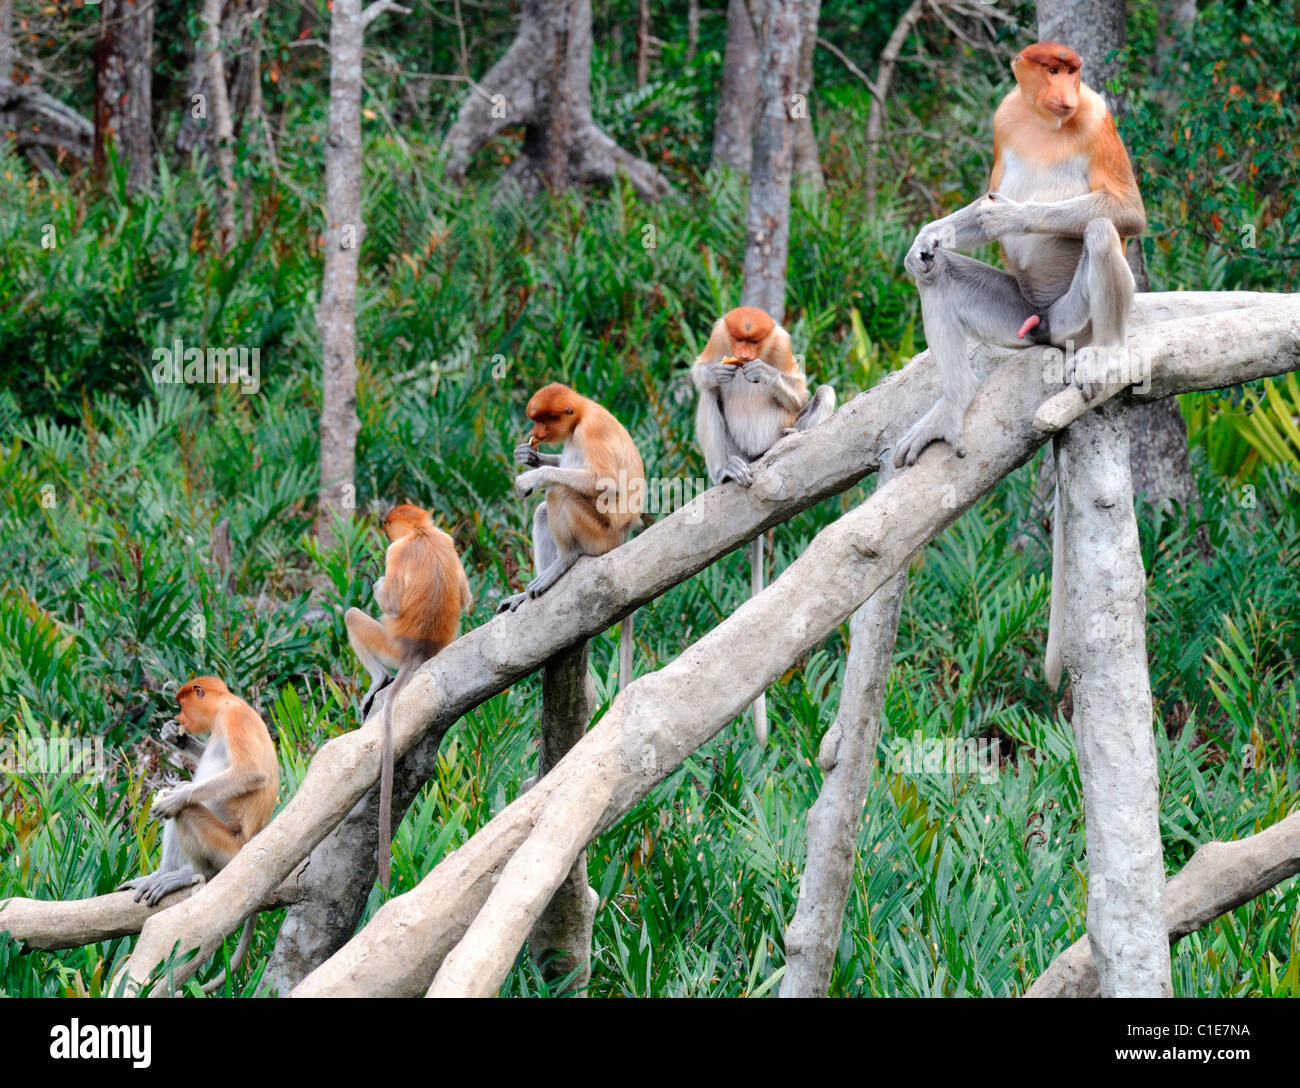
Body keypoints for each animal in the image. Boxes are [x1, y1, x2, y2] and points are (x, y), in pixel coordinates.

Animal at [118, 676, 278, 994]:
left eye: (182, 704)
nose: (179, 719)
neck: (226, 705)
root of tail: (251, 840)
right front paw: (175, 737)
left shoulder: (233, 719)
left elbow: (251, 773)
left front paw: (177, 797)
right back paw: (158, 876)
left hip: (225, 846)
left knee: (186, 813)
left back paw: (188, 872)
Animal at [345, 503, 472, 890]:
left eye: (387, 527)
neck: (421, 533)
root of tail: (417, 650)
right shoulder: (447, 538)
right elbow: (467, 598)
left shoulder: (395, 553)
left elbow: (390, 602)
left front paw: (376, 582)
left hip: (387, 642)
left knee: (353, 616)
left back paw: (379, 680)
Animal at [500, 382, 645, 691]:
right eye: (536, 421)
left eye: (545, 420)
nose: (538, 433)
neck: (581, 414)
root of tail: (624, 534)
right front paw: (530, 456)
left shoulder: (591, 431)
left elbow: (607, 481)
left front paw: (534, 476)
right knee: (543, 511)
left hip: (599, 535)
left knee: (558, 492)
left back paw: (564, 562)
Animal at [692, 305, 837, 746]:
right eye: (738, 338)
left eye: (753, 341)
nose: (742, 355)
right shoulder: (717, 336)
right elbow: (701, 374)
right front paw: (717, 372)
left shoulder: (782, 345)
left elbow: (800, 387)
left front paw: (762, 373)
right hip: (736, 449)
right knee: (709, 397)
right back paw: (726, 472)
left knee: (824, 393)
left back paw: (790, 437)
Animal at [892, 41, 1145, 689]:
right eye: (1051, 69)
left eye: (1074, 72)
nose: (1066, 92)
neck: (1044, 121)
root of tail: (1051, 328)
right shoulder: (1005, 118)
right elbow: (951, 233)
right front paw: (931, 235)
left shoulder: (1098, 117)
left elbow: (1126, 211)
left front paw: (1006, 216)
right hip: (1016, 314)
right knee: (939, 276)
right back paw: (950, 408)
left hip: (1074, 318)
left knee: (1101, 228)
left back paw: (1106, 356)